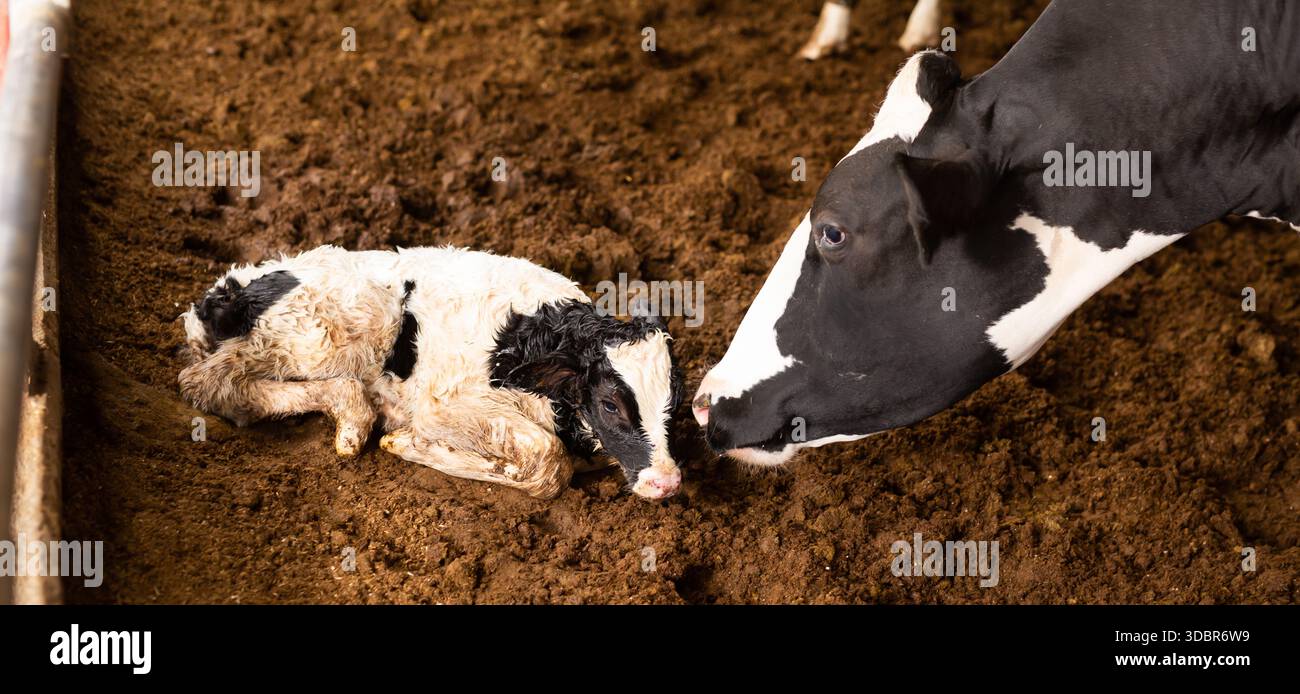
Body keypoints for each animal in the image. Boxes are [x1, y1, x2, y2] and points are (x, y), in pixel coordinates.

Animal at [179, 245, 685, 500]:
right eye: (609, 405)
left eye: (673, 405)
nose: (667, 481)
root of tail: (225, 293)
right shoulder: (442, 405)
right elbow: (549, 463)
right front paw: (413, 445)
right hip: (331, 329)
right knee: (207, 383)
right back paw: (355, 416)